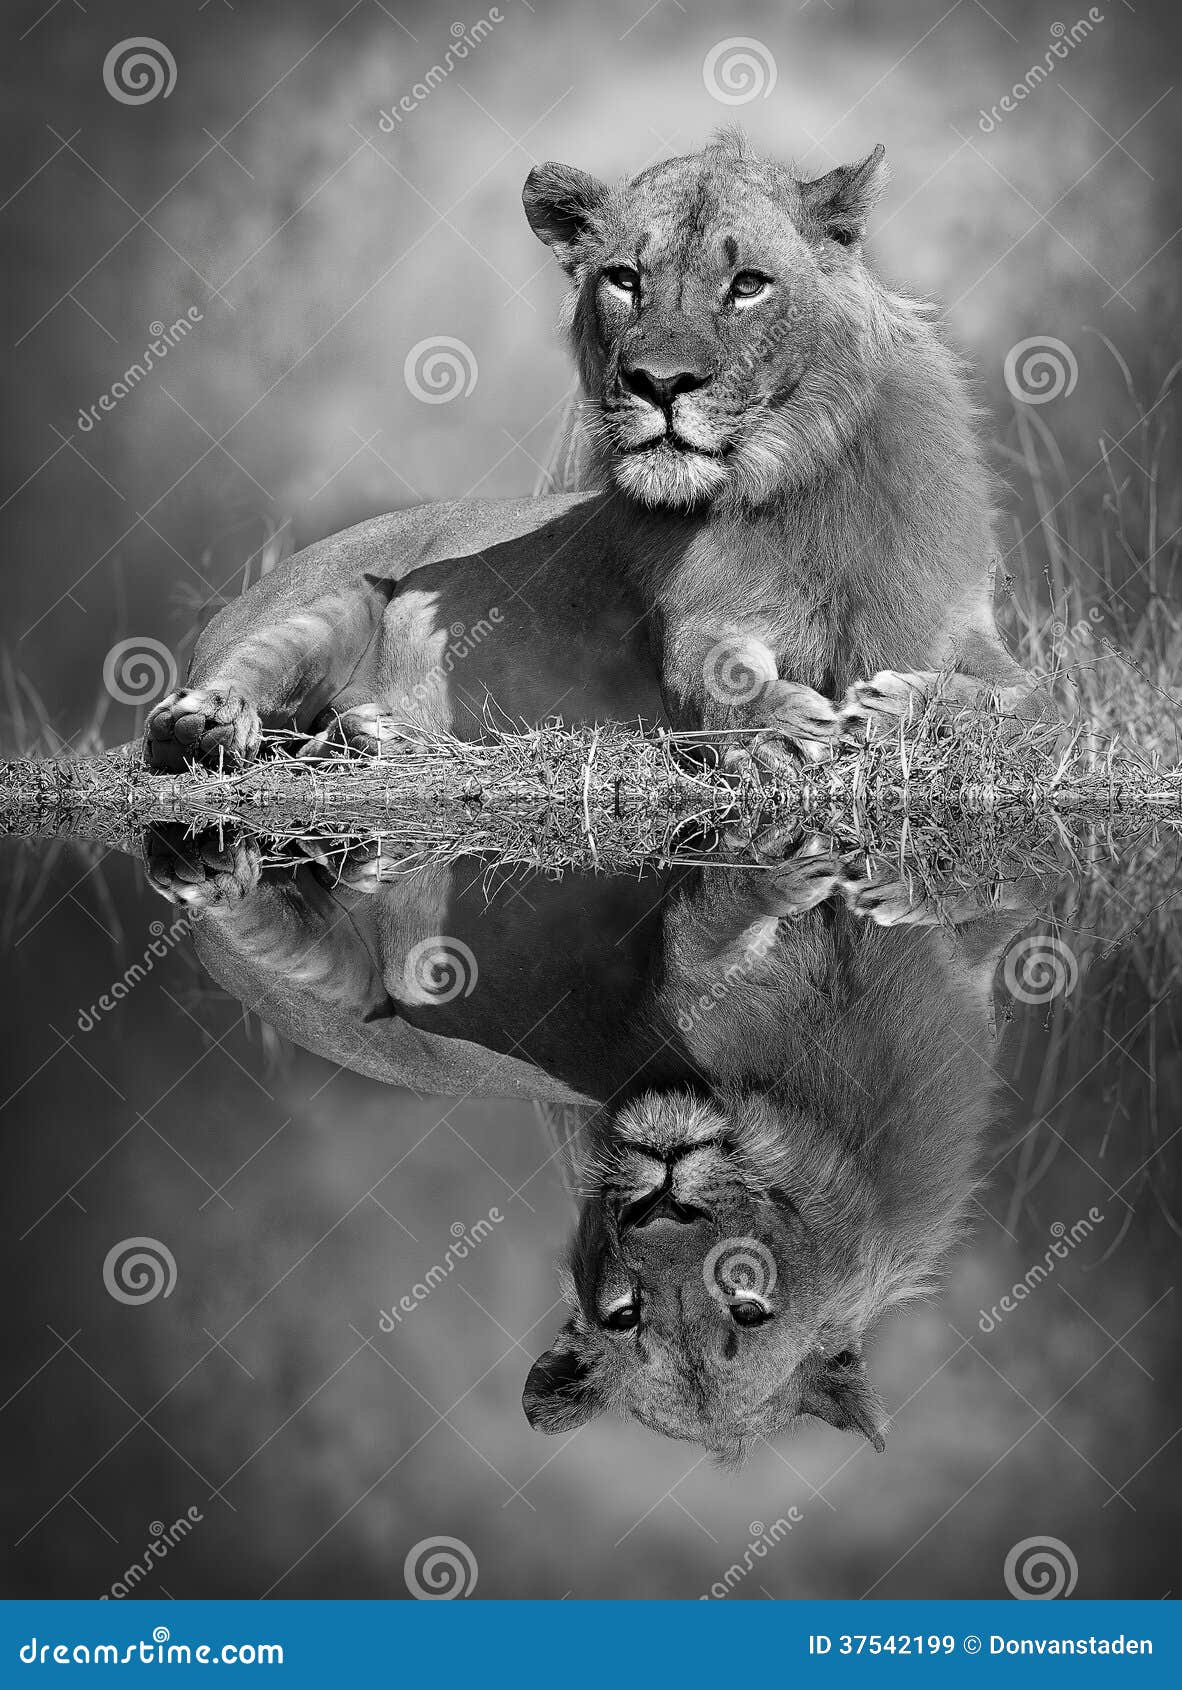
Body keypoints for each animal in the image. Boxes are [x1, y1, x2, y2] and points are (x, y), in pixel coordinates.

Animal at [142, 131, 1037, 773]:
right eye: (625, 278)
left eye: (748, 284)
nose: (659, 382)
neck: (793, 476)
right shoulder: (695, 629)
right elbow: (715, 686)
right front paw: (780, 730)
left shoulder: (959, 627)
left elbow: (1025, 703)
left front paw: (894, 705)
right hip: (336, 596)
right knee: (205, 707)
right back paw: (214, 722)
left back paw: (379, 733)